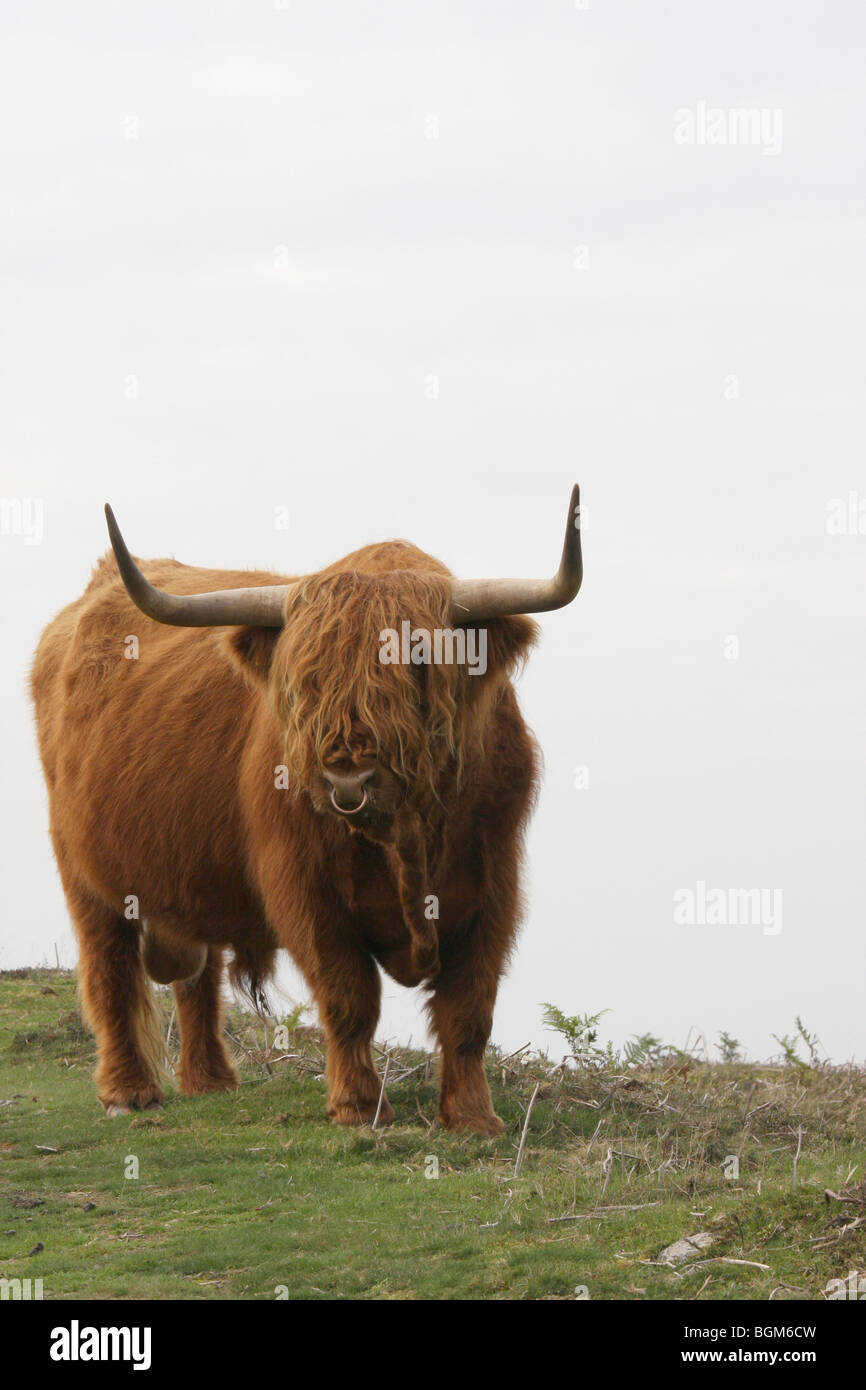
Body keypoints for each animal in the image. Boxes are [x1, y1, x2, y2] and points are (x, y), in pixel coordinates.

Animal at [31, 487, 582, 1136]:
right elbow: (349, 1000)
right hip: (83, 872)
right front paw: (359, 1107)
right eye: (306, 678)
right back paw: (129, 1090)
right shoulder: (307, 892)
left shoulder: (494, 888)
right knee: (110, 968)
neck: (406, 837)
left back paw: (211, 1081)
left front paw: (474, 1118)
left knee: (198, 978)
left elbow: (469, 1011)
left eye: (419, 660)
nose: (347, 778)